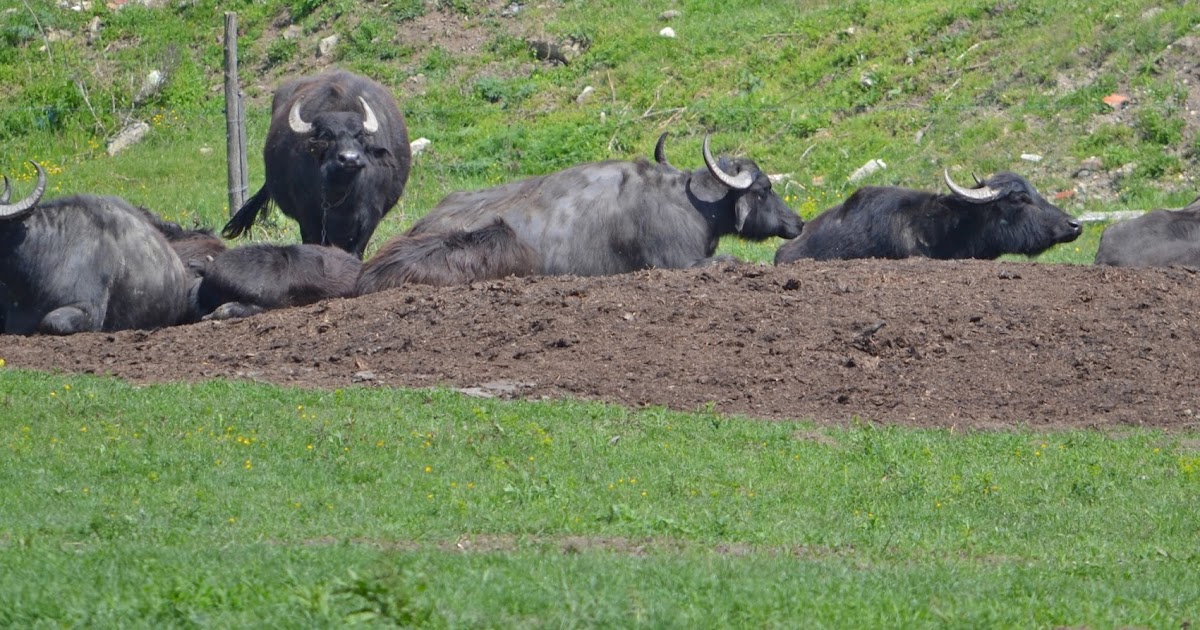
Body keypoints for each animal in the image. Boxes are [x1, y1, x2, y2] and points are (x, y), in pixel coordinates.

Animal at [222, 70, 411, 258]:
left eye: (359, 135)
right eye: (326, 136)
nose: (349, 158)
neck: (341, 194)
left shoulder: (369, 218)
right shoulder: (310, 217)